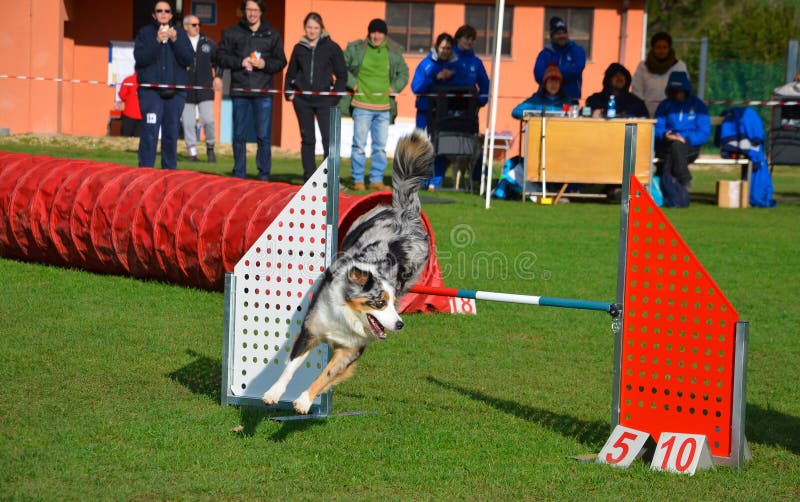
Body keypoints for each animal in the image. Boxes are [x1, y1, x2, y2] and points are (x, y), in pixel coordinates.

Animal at [264, 131, 434, 414]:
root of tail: (404, 213)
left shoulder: (351, 350)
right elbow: (291, 366)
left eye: (394, 304)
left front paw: (303, 401)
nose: (400, 324)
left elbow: (327, 374)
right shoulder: (311, 330)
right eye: (379, 303)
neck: (347, 316)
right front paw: (273, 393)